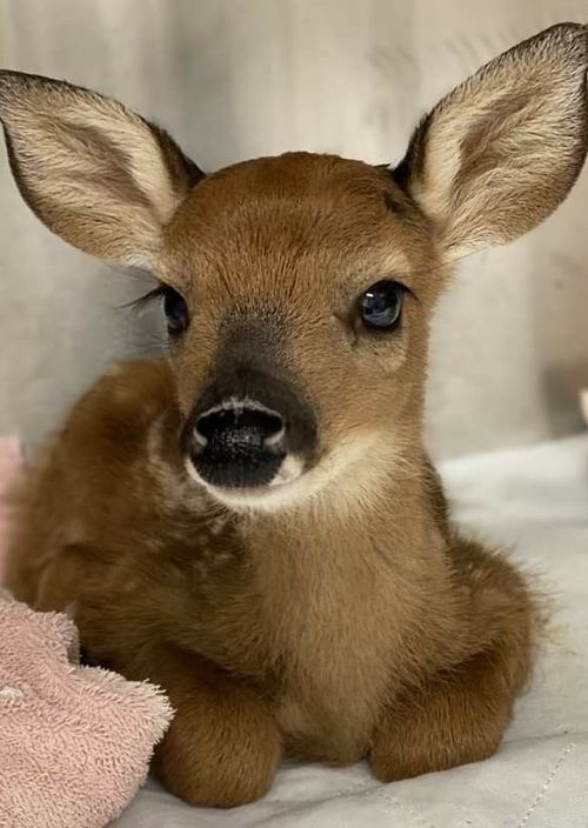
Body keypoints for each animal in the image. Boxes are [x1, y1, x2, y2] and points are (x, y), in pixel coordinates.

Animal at [0, 22, 586, 810]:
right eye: (174, 303)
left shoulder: (498, 588)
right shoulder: (106, 587)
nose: (237, 430)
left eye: (382, 299)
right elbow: (230, 757)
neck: (336, 694)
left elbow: (433, 742)